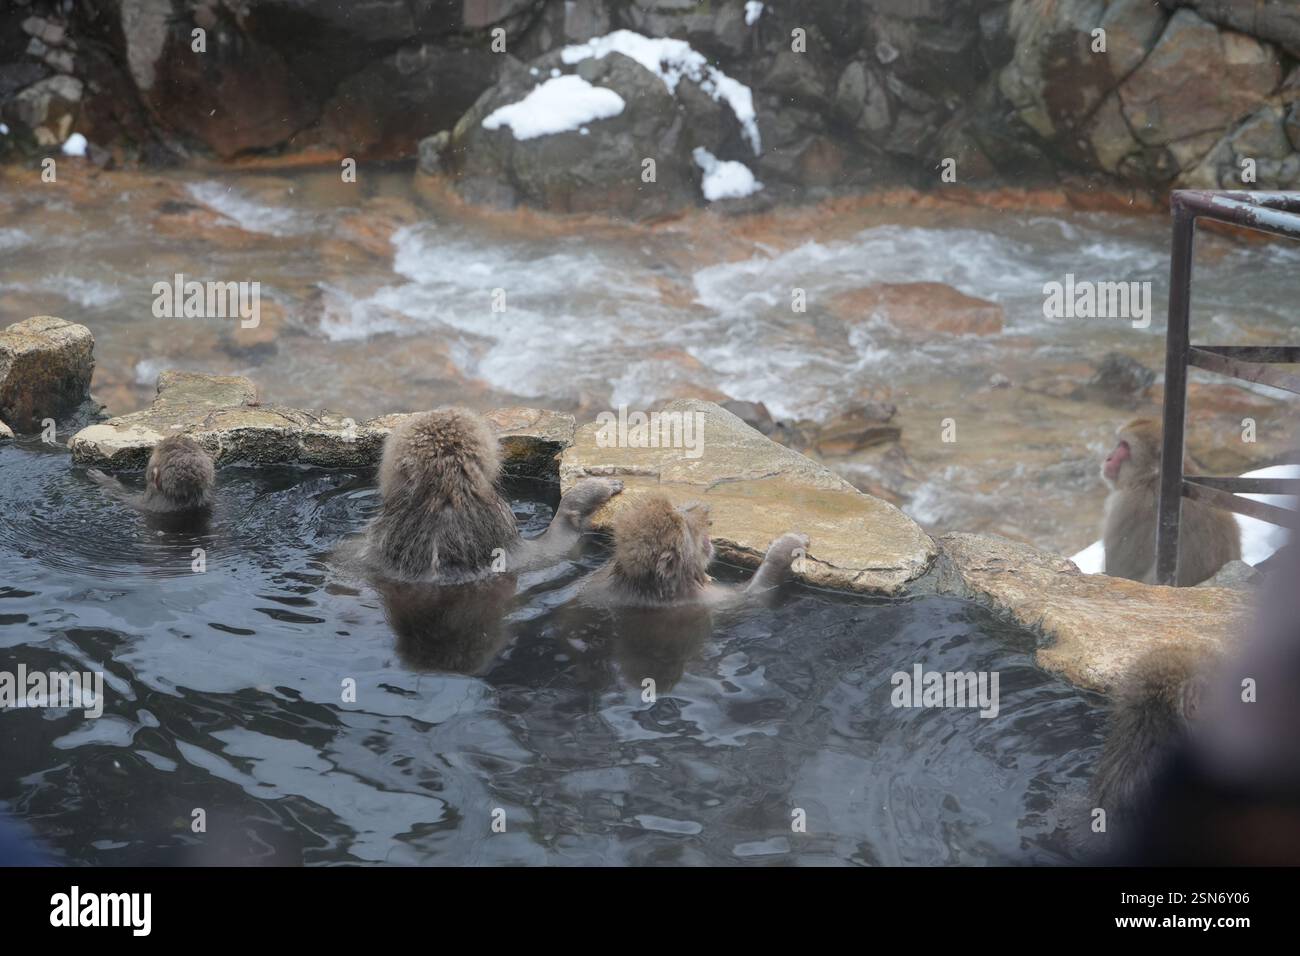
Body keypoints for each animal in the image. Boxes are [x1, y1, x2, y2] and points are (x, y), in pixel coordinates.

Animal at [1100, 418, 1240, 586]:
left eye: (1125, 445)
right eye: (1119, 443)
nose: (1108, 458)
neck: (1149, 478)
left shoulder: (1127, 507)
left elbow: (1120, 571)